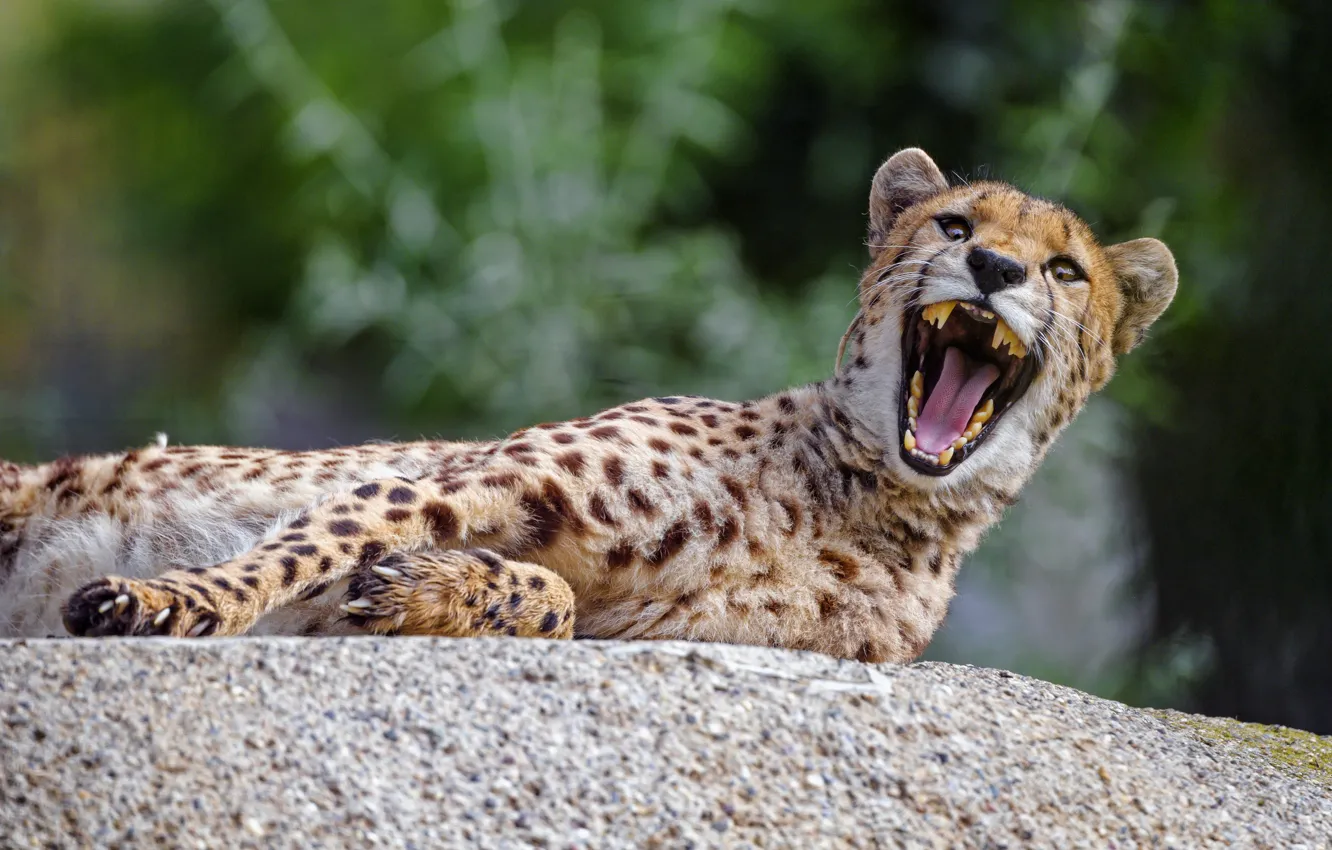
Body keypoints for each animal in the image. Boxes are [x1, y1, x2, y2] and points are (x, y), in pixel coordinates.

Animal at [0, 148, 1177, 662]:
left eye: (1065, 270)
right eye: (952, 224)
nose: (992, 269)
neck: (862, 492)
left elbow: (558, 603)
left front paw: (439, 590)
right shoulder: (470, 472)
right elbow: (299, 547)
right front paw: (167, 601)